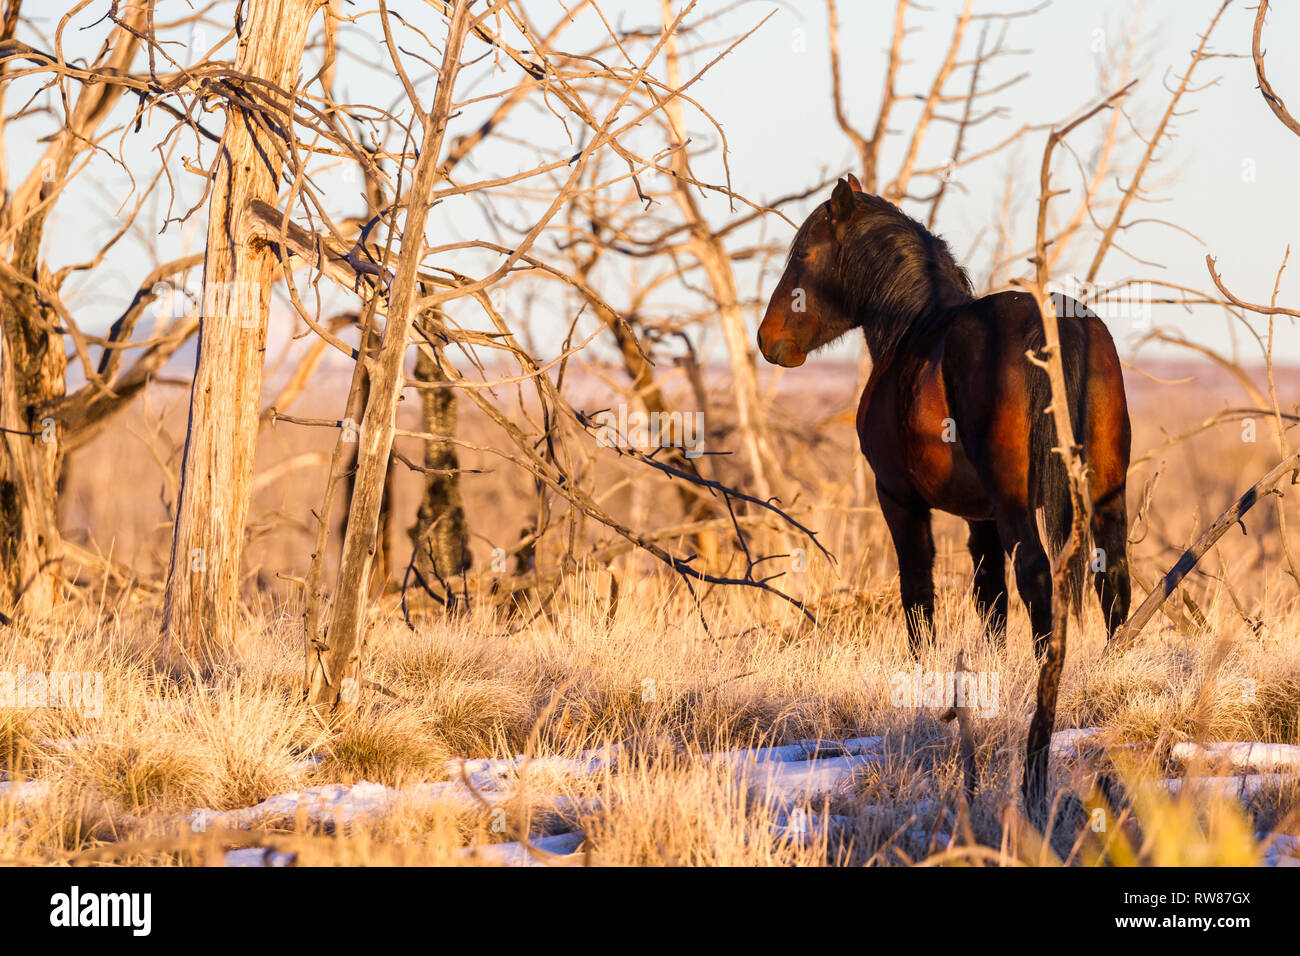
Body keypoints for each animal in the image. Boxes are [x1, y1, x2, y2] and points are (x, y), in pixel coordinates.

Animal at [758, 175, 1131, 661]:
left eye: (803, 255)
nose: (768, 339)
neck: (913, 329)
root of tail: (1056, 325)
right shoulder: (981, 516)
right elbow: (990, 594)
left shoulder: (898, 497)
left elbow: (918, 586)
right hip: (1104, 490)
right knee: (1113, 574)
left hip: (1014, 501)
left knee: (1035, 572)